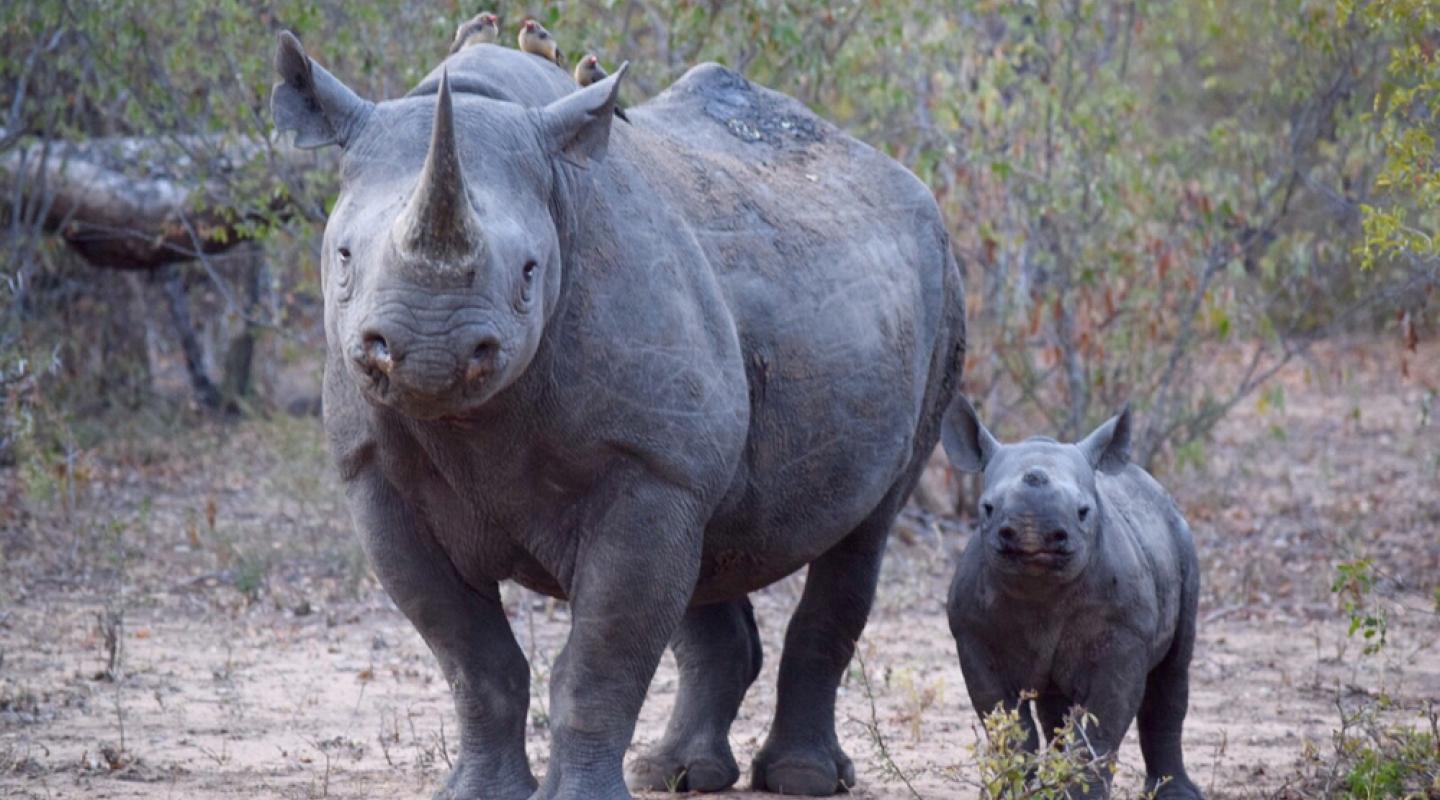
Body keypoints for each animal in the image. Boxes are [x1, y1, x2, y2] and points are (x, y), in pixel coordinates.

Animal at [270, 31, 965, 800]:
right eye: (342, 257)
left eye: (530, 272)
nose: (429, 349)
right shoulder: (374, 478)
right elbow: (470, 657)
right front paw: (480, 793)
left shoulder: (649, 468)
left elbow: (601, 656)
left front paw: (578, 796)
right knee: (710, 551)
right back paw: (679, 774)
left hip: (942, 286)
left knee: (864, 531)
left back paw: (800, 778)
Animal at [940, 397, 1202, 799]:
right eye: (986, 508)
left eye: (1083, 511)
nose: (1034, 535)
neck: (1041, 587)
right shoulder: (974, 636)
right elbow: (1009, 729)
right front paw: (1016, 789)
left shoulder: (1124, 638)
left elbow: (1099, 730)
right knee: (1056, 708)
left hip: (1182, 537)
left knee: (1173, 671)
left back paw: (1177, 793)